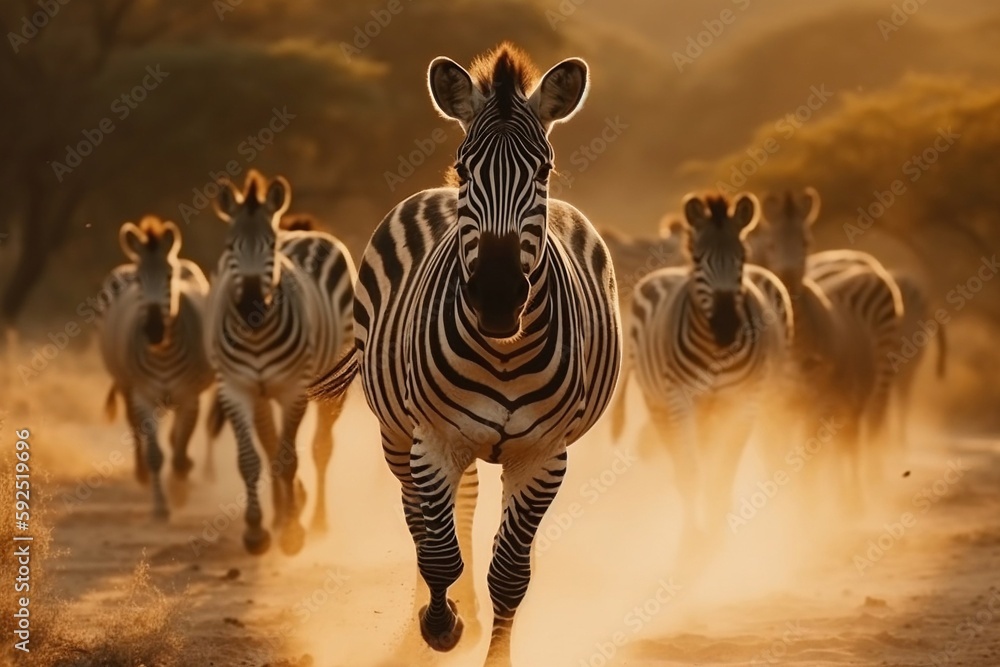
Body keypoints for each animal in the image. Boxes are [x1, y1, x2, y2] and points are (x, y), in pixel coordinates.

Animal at [99, 216, 214, 519]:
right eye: (139, 279)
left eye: (169, 276)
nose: (153, 331)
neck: (164, 355)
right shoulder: (144, 396)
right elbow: (156, 455)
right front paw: (161, 505)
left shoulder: (189, 396)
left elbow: (179, 448)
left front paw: (180, 489)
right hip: (126, 385)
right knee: (134, 427)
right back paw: (141, 474)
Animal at [204, 170, 356, 556]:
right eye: (230, 247)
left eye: (270, 246)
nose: (252, 309)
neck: (257, 335)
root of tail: (301, 230)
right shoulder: (237, 389)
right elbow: (251, 459)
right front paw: (258, 530)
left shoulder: (293, 390)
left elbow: (290, 458)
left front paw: (292, 532)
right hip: (261, 393)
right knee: (271, 444)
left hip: (333, 387)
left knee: (320, 448)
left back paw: (316, 520)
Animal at [312, 44, 621, 664]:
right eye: (465, 168)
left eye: (543, 170)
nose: (498, 297)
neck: (504, 351)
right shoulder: (434, 439)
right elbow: (438, 554)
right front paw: (440, 625)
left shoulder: (543, 455)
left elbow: (510, 573)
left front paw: (492, 645)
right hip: (399, 434)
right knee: (422, 520)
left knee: (470, 510)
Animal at [620, 192, 791, 548]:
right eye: (698, 259)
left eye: (742, 256)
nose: (726, 327)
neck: (715, 351)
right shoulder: (680, 399)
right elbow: (690, 472)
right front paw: (694, 539)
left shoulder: (742, 402)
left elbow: (722, 472)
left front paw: (718, 532)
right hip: (660, 404)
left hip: (770, 396)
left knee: (770, 450)